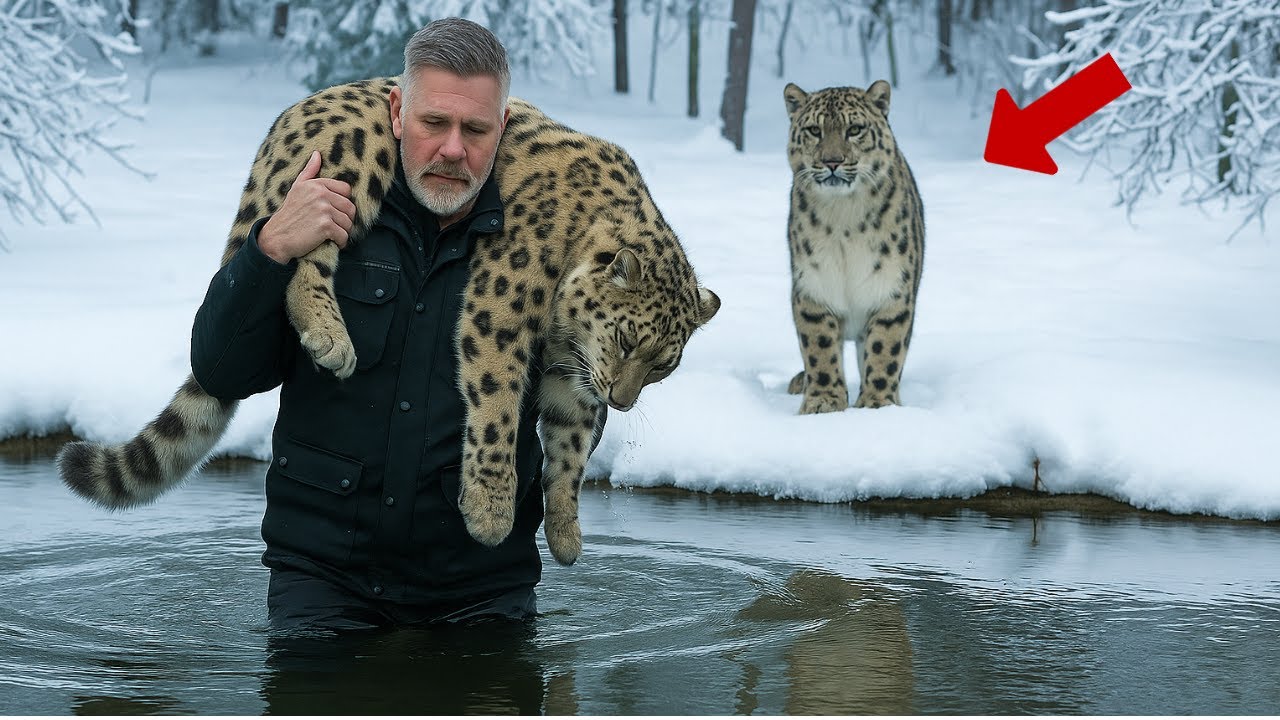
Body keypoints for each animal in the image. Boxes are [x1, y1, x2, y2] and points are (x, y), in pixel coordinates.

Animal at [56, 78, 720, 566]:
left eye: (663, 365)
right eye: (627, 338)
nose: (623, 399)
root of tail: (280, 125)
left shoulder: (570, 366)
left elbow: (571, 439)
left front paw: (563, 531)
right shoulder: (501, 306)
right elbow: (498, 404)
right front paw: (490, 511)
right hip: (348, 162)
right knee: (305, 260)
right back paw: (331, 338)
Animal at [782, 80, 925, 414]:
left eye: (855, 129)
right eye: (814, 130)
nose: (833, 161)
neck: (844, 220)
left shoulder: (891, 290)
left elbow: (885, 350)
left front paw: (877, 404)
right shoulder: (813, 288)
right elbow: (820, 349)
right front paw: (823, 401)